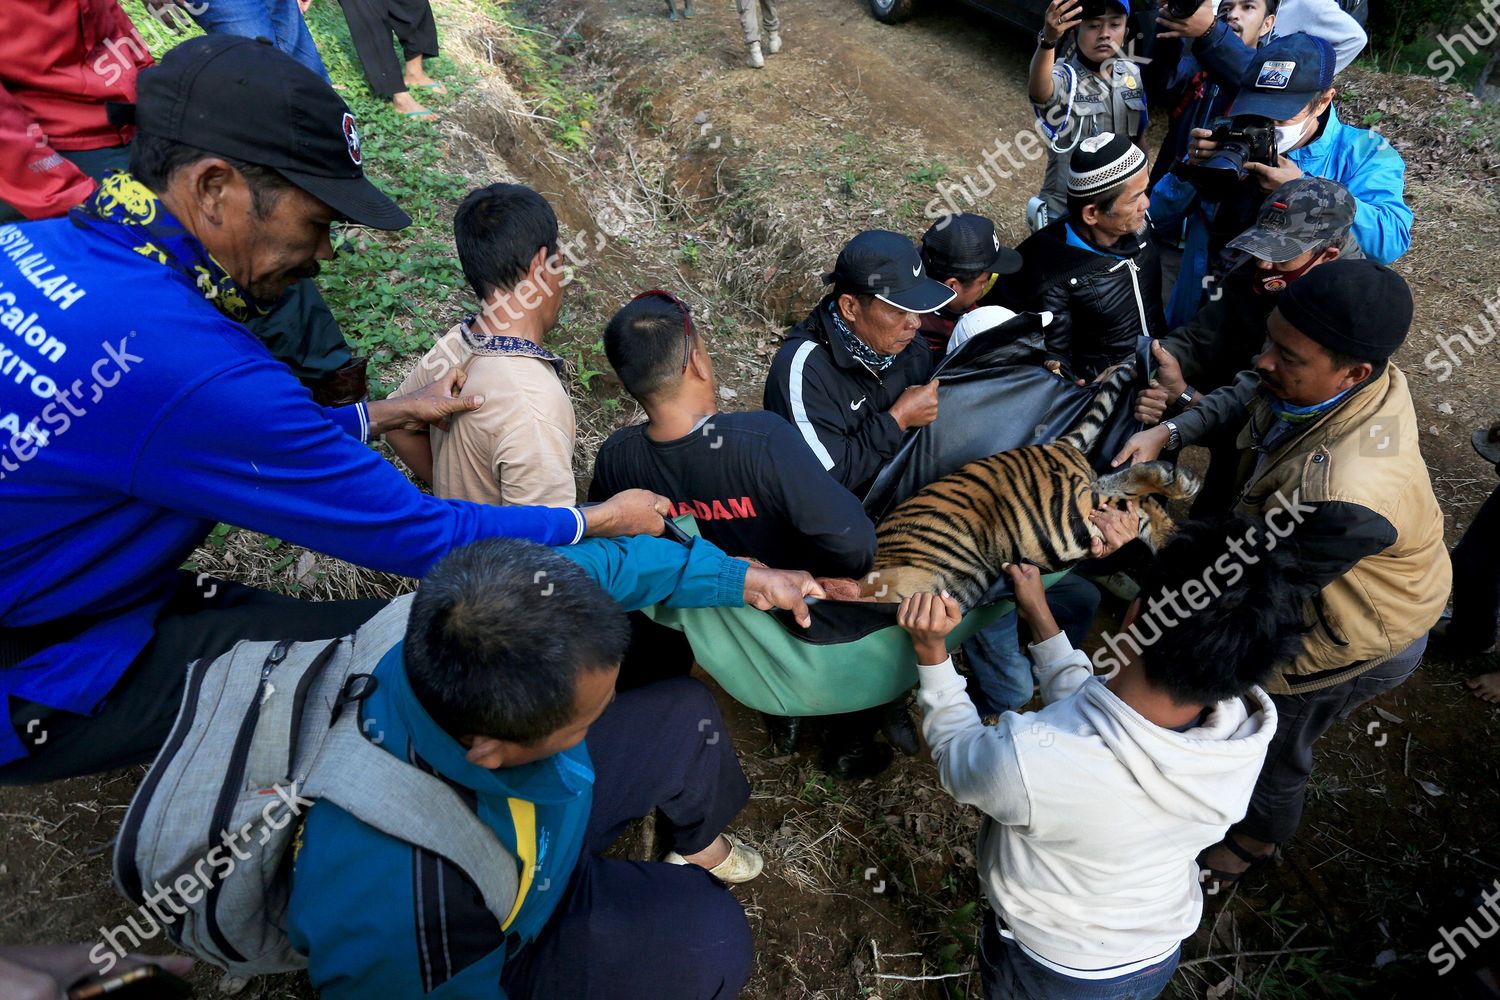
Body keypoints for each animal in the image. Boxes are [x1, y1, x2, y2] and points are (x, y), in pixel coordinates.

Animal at [859, 363, 1201, 610]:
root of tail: (1055, 445)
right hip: (1075, 512)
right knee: (1131, 500)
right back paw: (1176, 515)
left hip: (1056, 527)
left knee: (1129, 501)